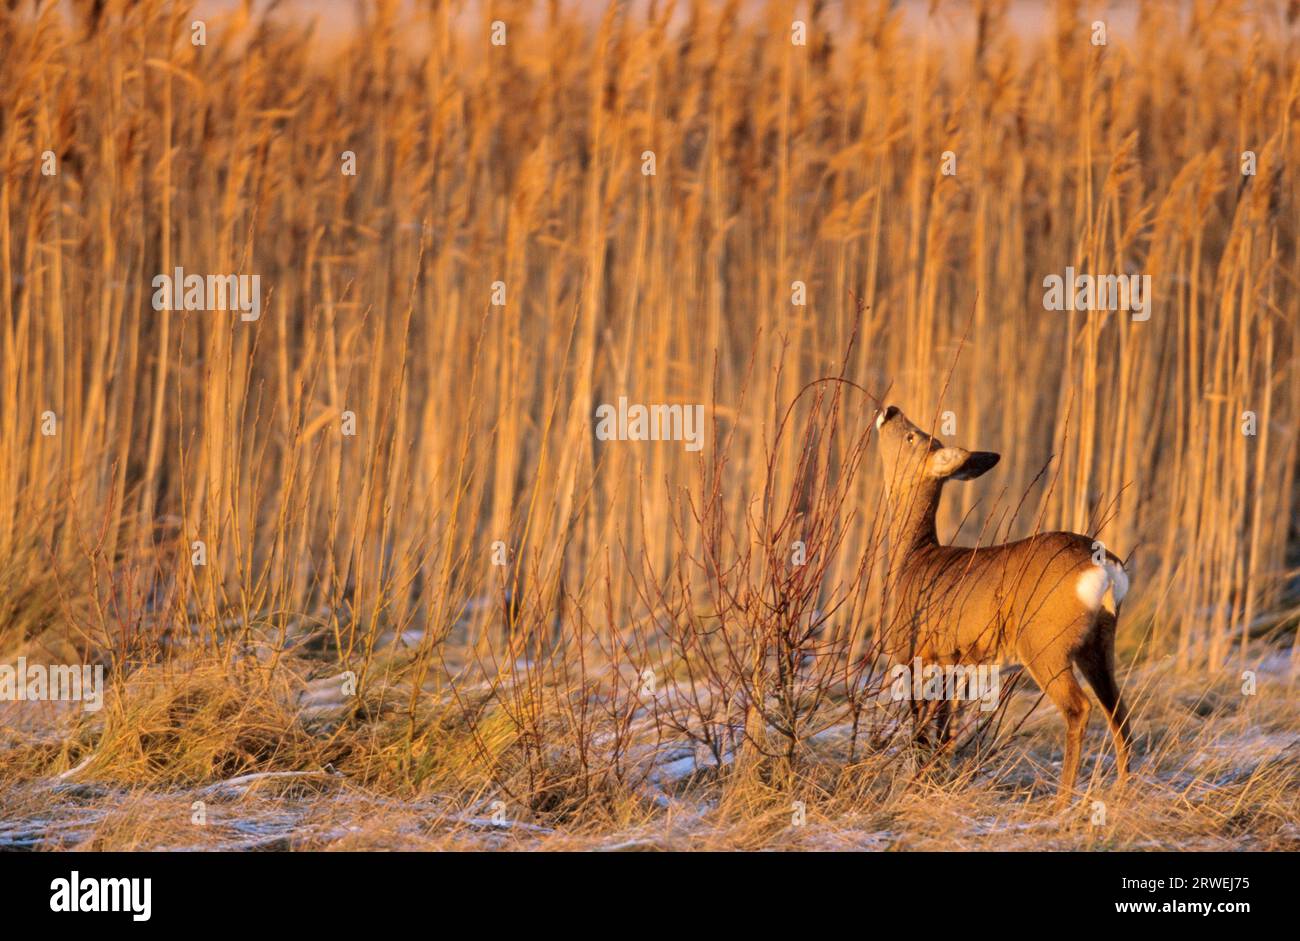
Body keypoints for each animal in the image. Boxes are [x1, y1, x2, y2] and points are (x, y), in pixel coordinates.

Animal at [873, 405, 1134, 805]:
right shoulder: (951, 663)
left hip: (1044, 643)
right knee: (1119, 713)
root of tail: (1105, 564)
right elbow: (944, 731)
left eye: (911, 436)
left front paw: (915, 787)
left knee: (1079, 709)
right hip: (1099, 643)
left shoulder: (912, 652)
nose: (890, 409)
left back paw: (1060, 804)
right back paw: (1122, 794)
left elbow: (920, 731)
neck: (912, 559)